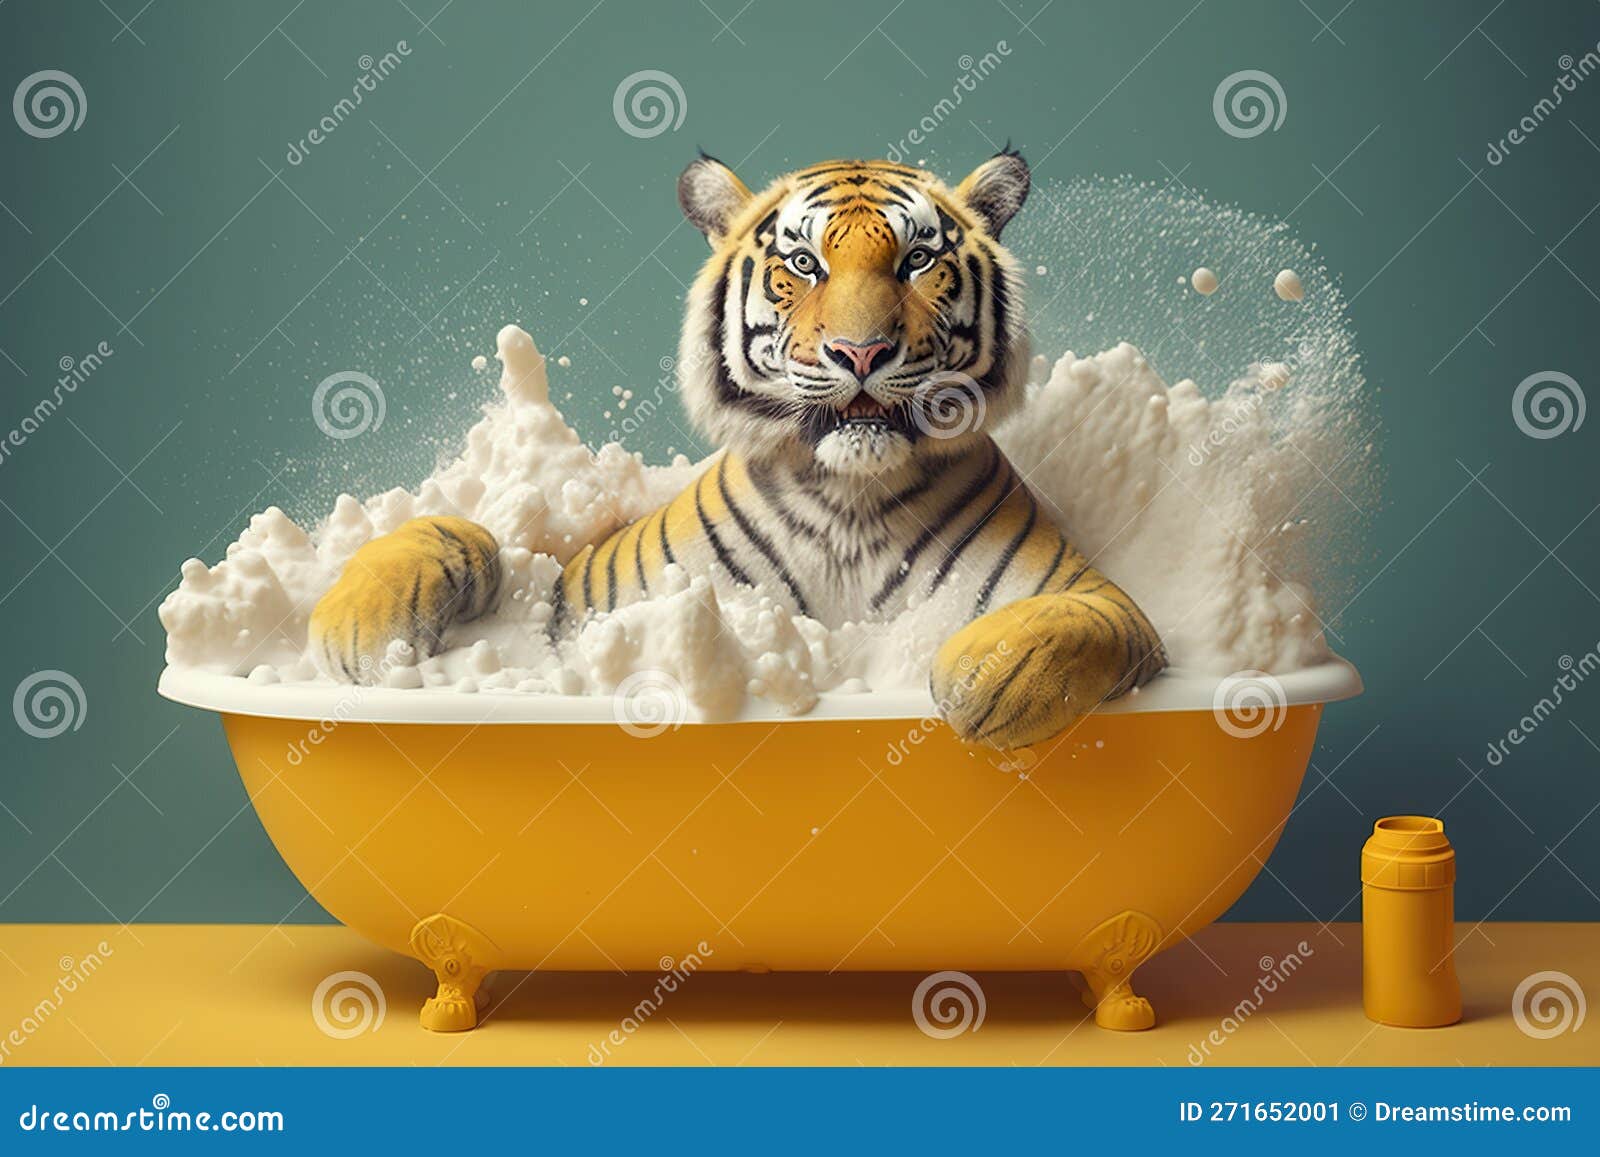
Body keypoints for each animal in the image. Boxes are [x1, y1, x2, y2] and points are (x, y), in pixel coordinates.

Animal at [308, 150, 1166, 750]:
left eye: (918, 259)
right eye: (804, 264)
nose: (861, 352)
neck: (850, 500)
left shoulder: (1099, 596)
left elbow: (1076, 622)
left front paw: (984, 676)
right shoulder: (585, 605)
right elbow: (480, 541)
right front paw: (361, 637)